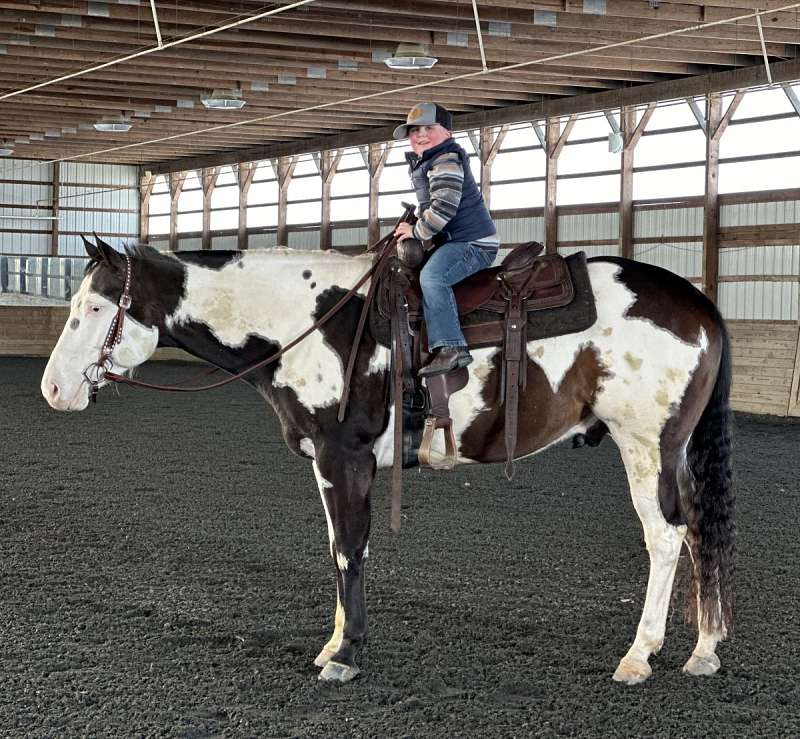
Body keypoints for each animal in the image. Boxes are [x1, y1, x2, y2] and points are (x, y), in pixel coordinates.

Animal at [41, 236, 734, 685]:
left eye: (96, 307)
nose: (53, 389)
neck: (316, 323)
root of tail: (699, 304)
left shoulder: (343, 456)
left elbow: (350, 549)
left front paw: (346, 656)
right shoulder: (330, 463)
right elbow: (337, 548)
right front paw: (333, 644)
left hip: (646, 444)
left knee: (665, 538)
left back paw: (640, 656)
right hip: (673, 453)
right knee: (698, 533)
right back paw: (703, 651)